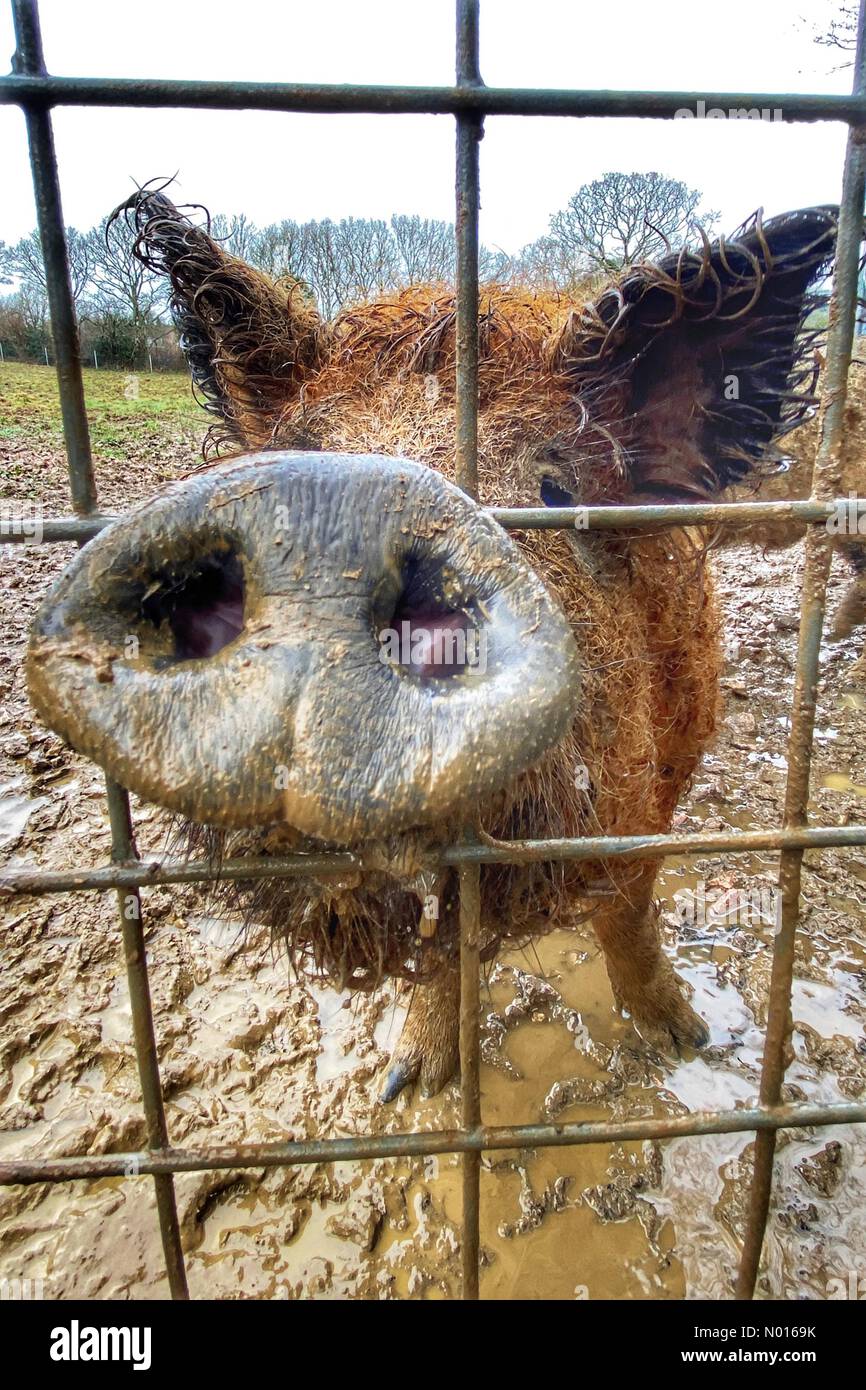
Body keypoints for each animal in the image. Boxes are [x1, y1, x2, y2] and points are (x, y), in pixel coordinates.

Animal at [26, 192, 837, 1100]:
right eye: (304, 445)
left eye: (554, 487)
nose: (337, 513)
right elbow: (442, 955)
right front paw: (406, 1083)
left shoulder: (663, 784)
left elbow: (628, 908)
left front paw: (684, 1041)